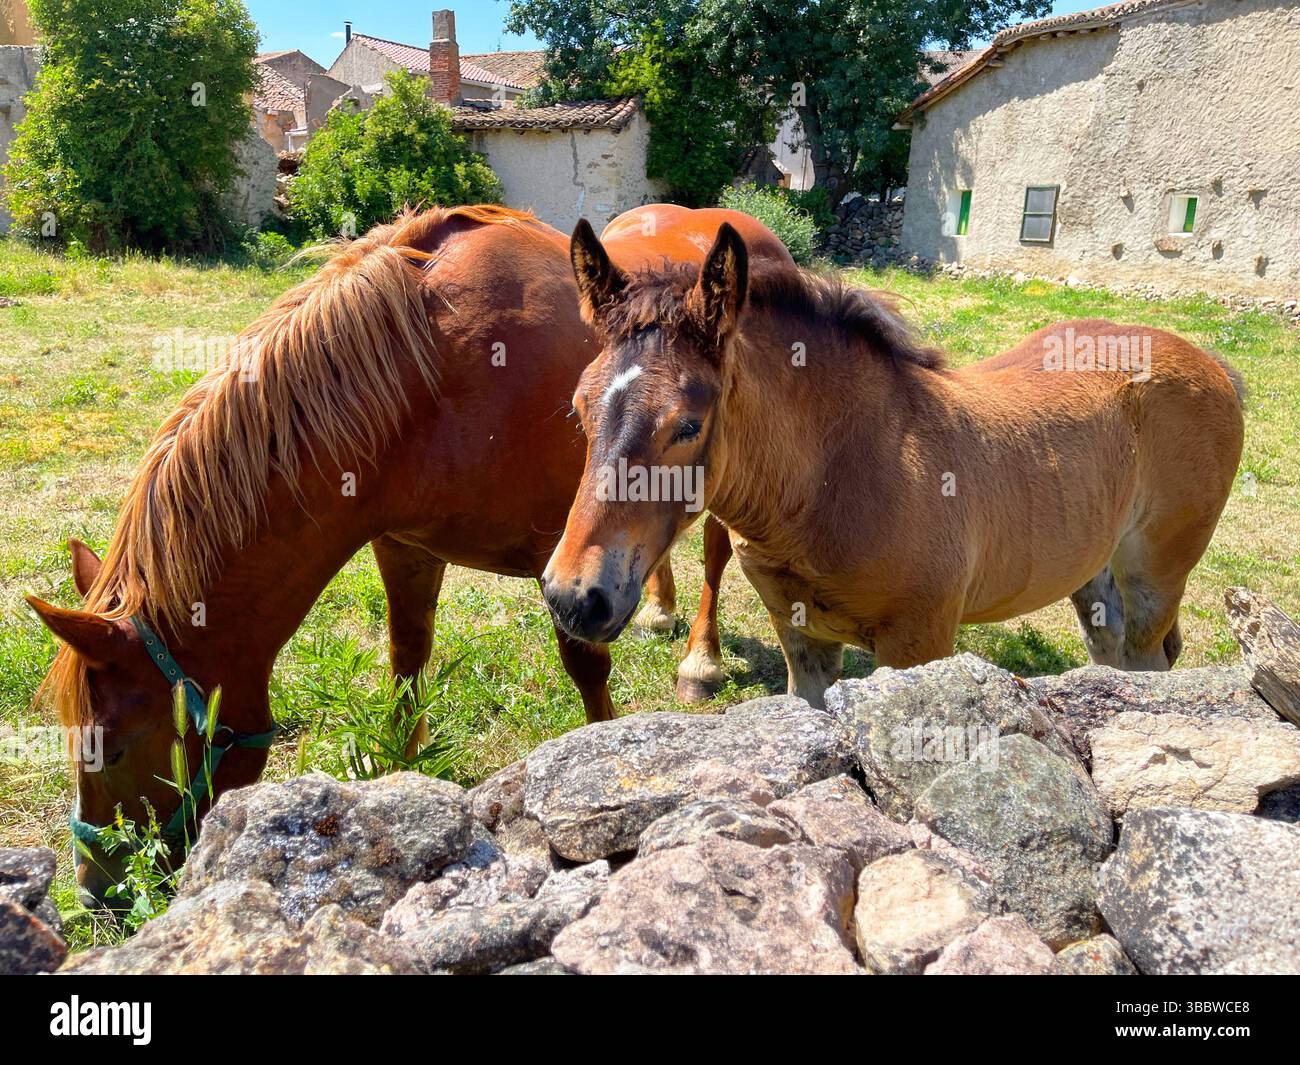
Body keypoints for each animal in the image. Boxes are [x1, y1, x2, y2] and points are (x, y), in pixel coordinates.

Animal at [27, 204, 791, 905]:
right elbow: (405, 670)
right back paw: (658, 611)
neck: (434, 374)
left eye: (115, 746)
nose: (95, 890)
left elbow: (585, 665)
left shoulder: (569, 560)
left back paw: (699, 656)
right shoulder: (406, 546)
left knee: (715, 557)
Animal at [541, 221, 1246, 709]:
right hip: (1091, 569)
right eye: (578, 409)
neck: (848, 470)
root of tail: (1210, 362)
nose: (574, 597)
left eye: (687, 425)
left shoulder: (918, 646)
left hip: (1156, 577)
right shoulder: (804, 643)